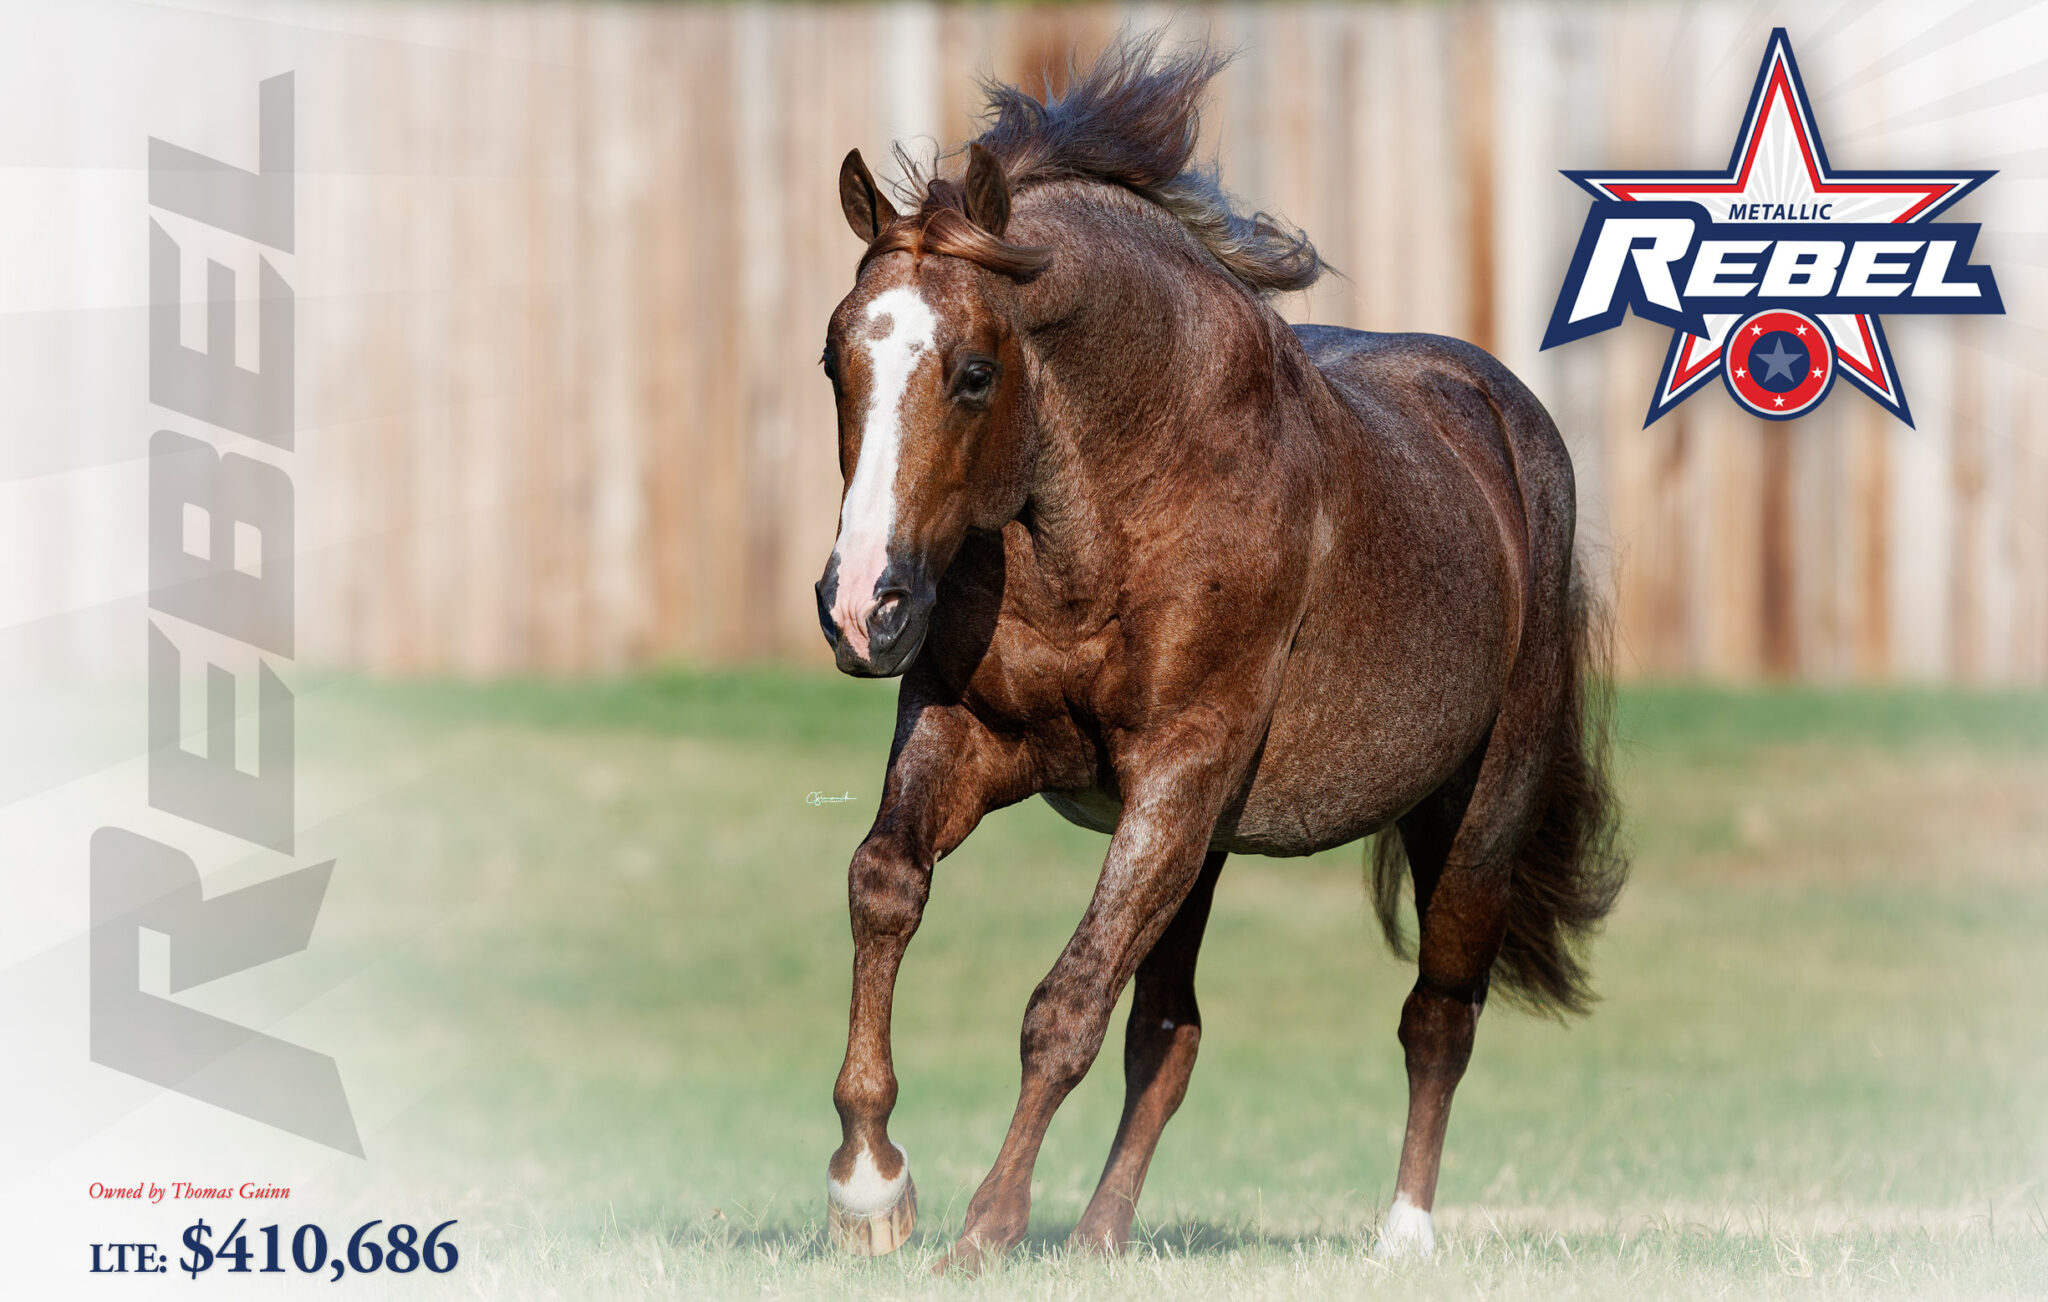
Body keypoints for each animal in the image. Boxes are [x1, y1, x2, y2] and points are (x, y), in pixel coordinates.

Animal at [811, 35, 1626, 1272]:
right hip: (1208, 843)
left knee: (1437, 1016)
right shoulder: (971, 732)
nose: (865, 608)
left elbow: (1065, 1006)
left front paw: (983, 1232)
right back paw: (1101, 1239)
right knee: (1171, 1028)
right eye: (832, 362)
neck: (1120, 509)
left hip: (1473, 815)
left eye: (973, 373)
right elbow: (885, 886)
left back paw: (1401, 1237)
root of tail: (1504, 419)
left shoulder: (1179, 772)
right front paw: (870, 1190)